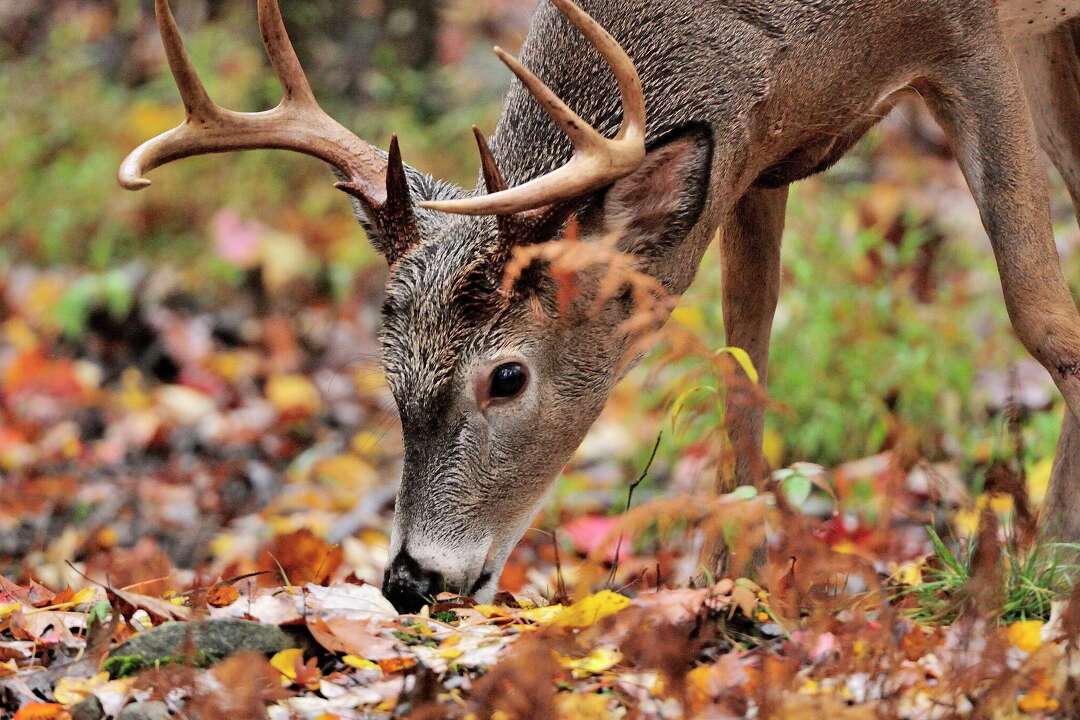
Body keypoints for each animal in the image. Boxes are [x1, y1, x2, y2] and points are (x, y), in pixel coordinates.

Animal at [119, 0, 1080, 612]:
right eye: (387, 372)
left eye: (506, 377)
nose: (409, 582)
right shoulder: (757, 158)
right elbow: (743, 365)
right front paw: (732, 579)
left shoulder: (971, 39)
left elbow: (1043, 318)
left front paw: (1052, 567)